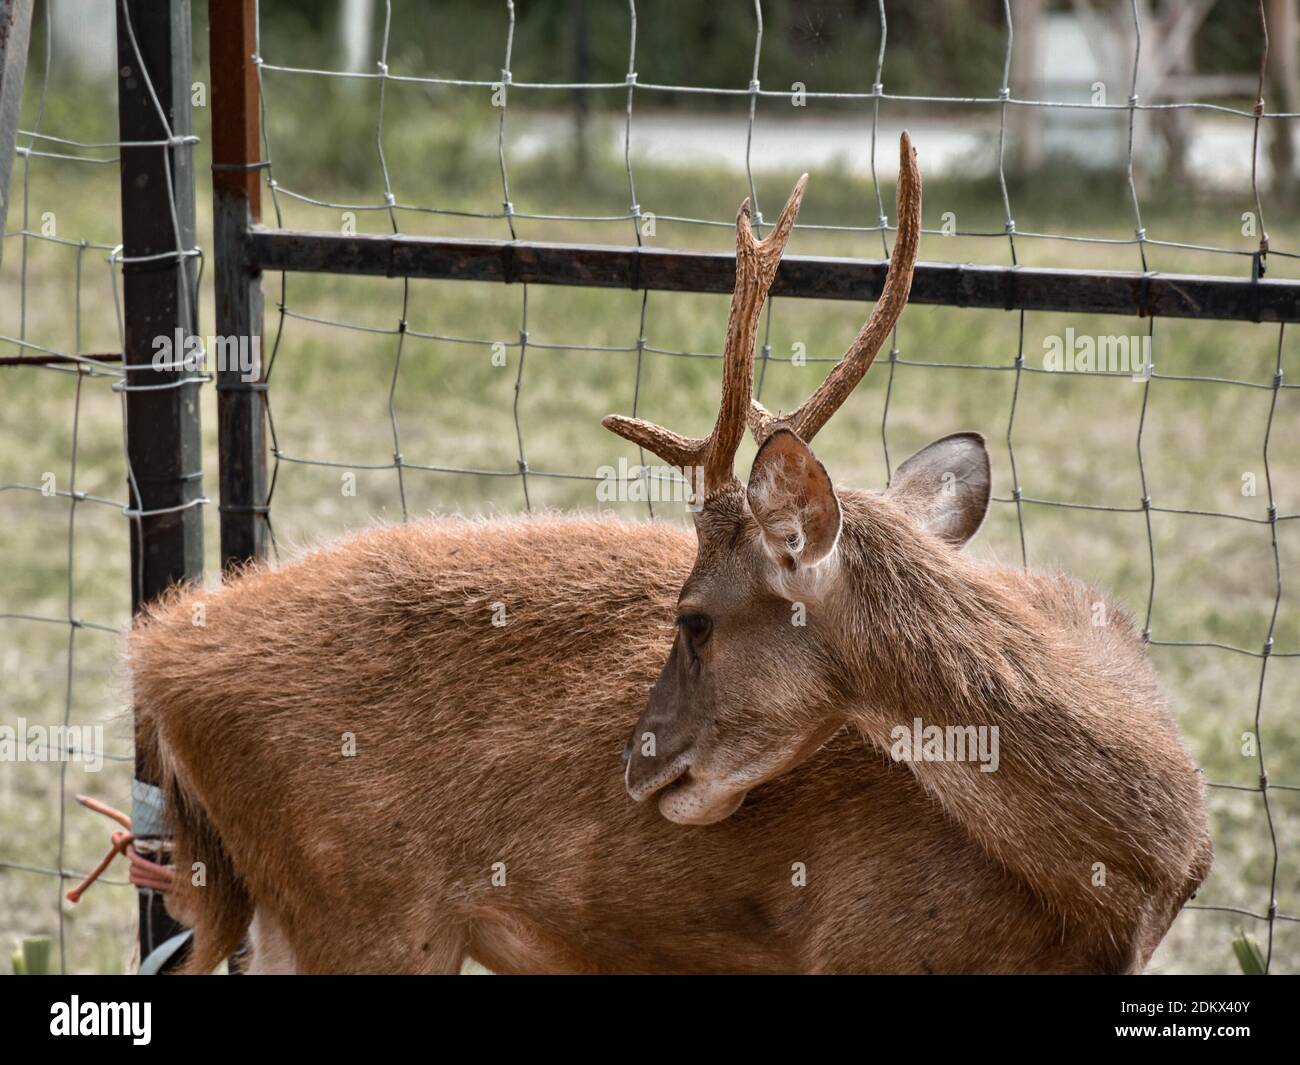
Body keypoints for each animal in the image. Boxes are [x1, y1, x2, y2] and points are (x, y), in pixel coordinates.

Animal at [126, 133, 1211, 975]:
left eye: (692, 617)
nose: (636, 765)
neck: (1123, 882)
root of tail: (157, 656)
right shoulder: (870, 943)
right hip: (360, 909)